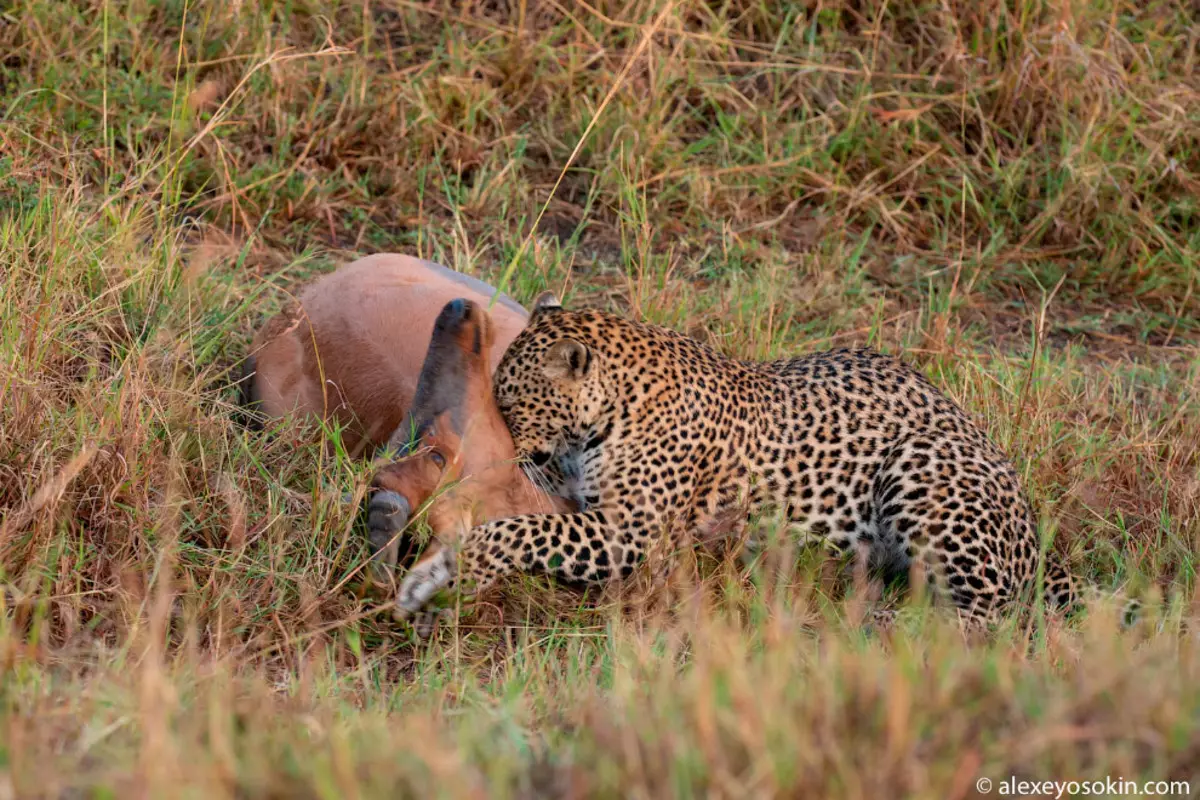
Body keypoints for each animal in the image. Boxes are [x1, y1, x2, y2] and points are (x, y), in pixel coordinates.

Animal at [393, 296, 1080, 633]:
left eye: (511, 399)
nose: (508, 443)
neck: (617, 402)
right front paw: (432, 572)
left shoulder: (628, 537)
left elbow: (519, 529)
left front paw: (458, 569)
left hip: (922, 467)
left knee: (997, 615)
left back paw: (879, 618)